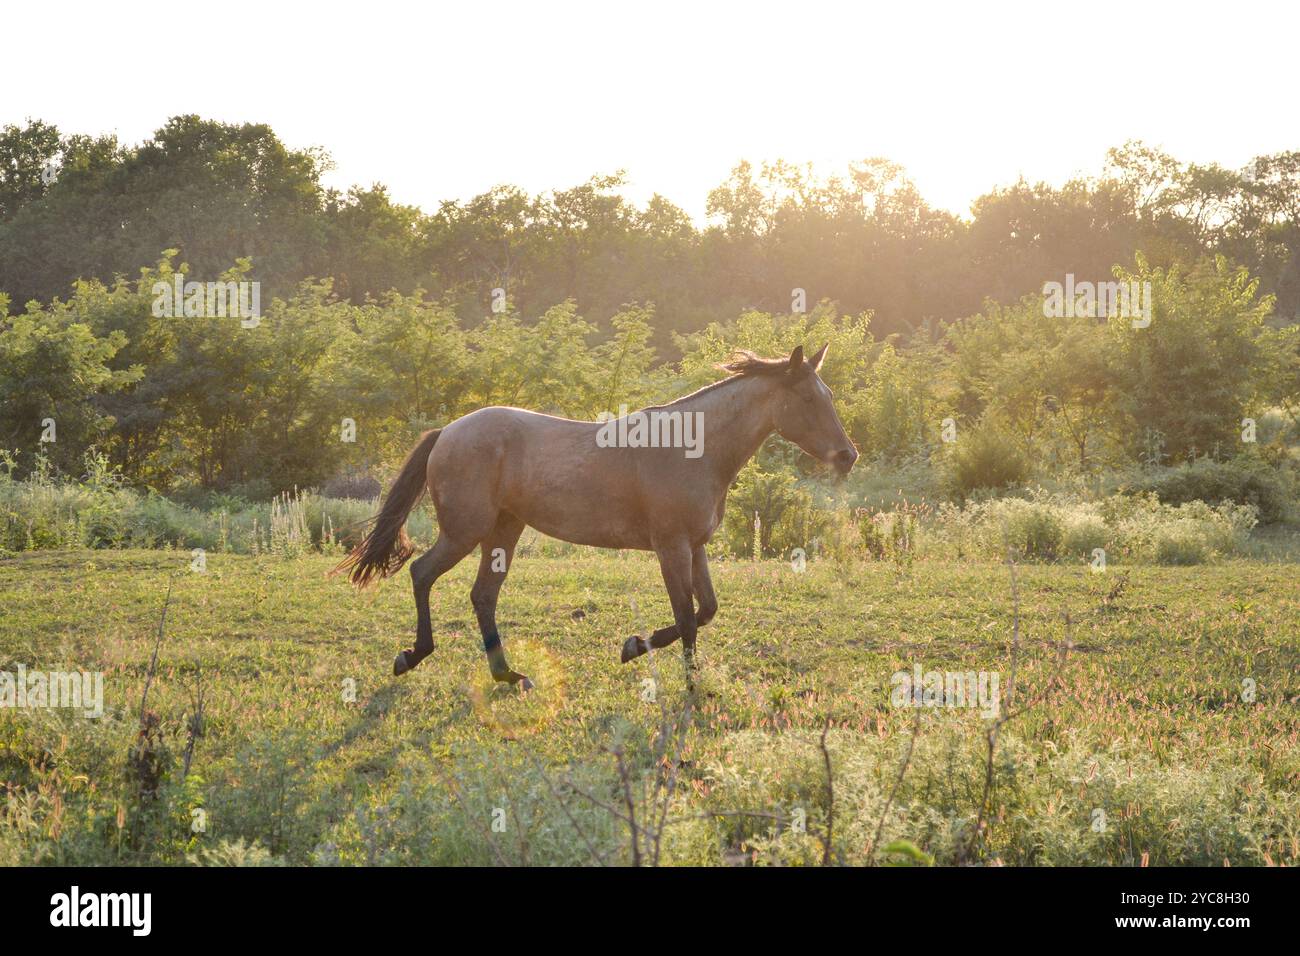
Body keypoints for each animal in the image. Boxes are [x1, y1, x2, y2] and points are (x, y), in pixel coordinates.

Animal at [335, 343, 858, 689]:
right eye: (809, 399)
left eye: (828, 395)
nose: (847, 456)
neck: (695, 449)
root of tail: (447, 432)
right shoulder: (670, 548)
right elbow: (686, 617)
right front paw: (686, 685)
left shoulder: (696, 547)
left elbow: (706, 609)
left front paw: (634, 647)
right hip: (466, 531)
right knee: (423, 573)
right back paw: (413, 656)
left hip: (504, 531)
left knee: (482, 595)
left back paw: (508, 675)